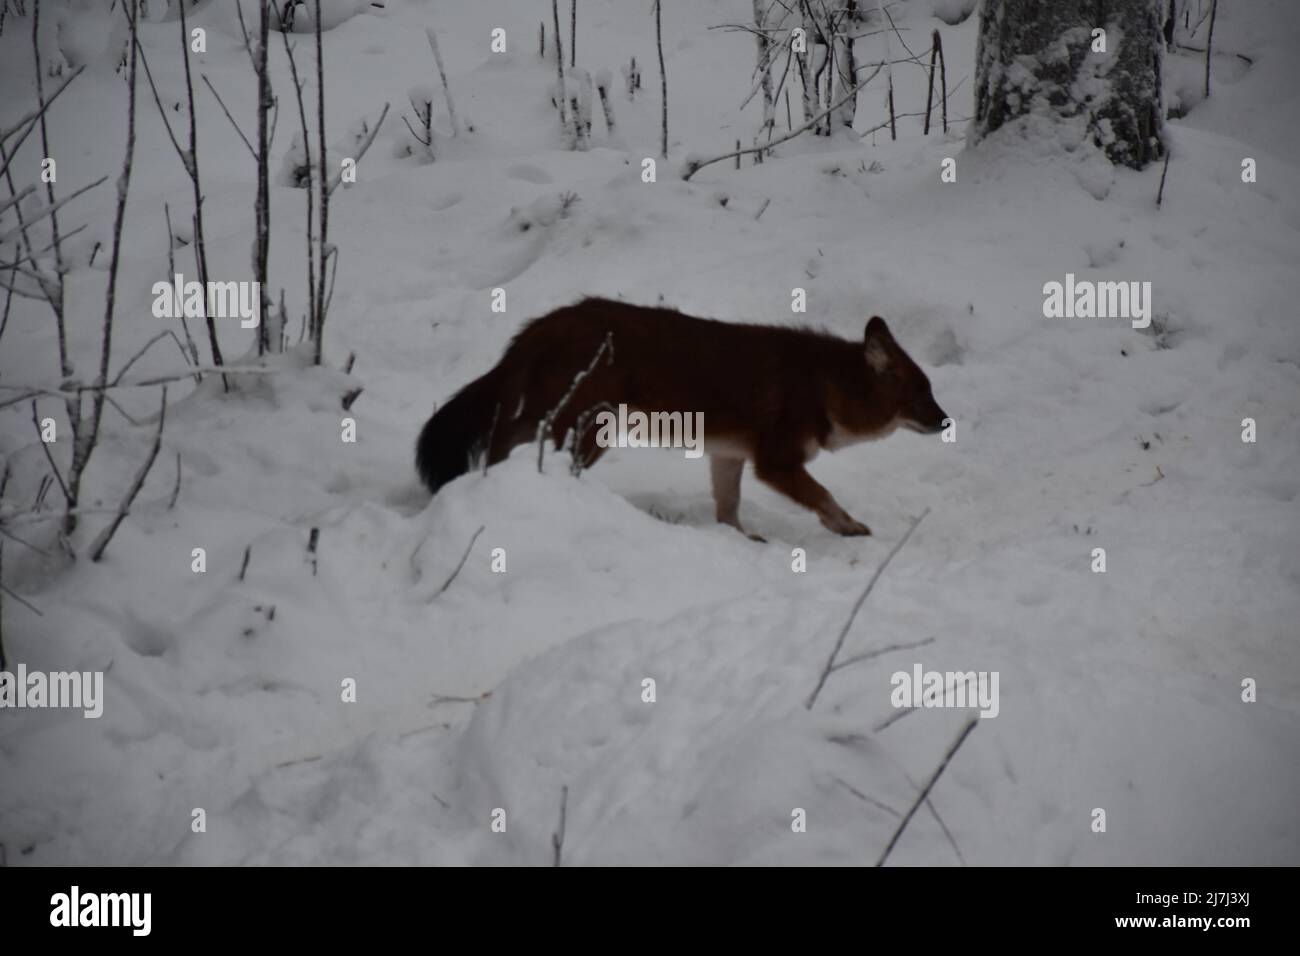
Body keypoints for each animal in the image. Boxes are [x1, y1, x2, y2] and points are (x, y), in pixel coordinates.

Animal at [415, 298, 949, 537]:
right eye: (923, 393)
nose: (947, 422)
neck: (826, 385)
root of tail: (540, 324)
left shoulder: (730, 456)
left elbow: (728, 509)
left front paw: (742, 541)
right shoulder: (776, 462)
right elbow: (824, 495)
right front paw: (847, 526)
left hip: (547, 418)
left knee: (498, 448)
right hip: (587, 428)